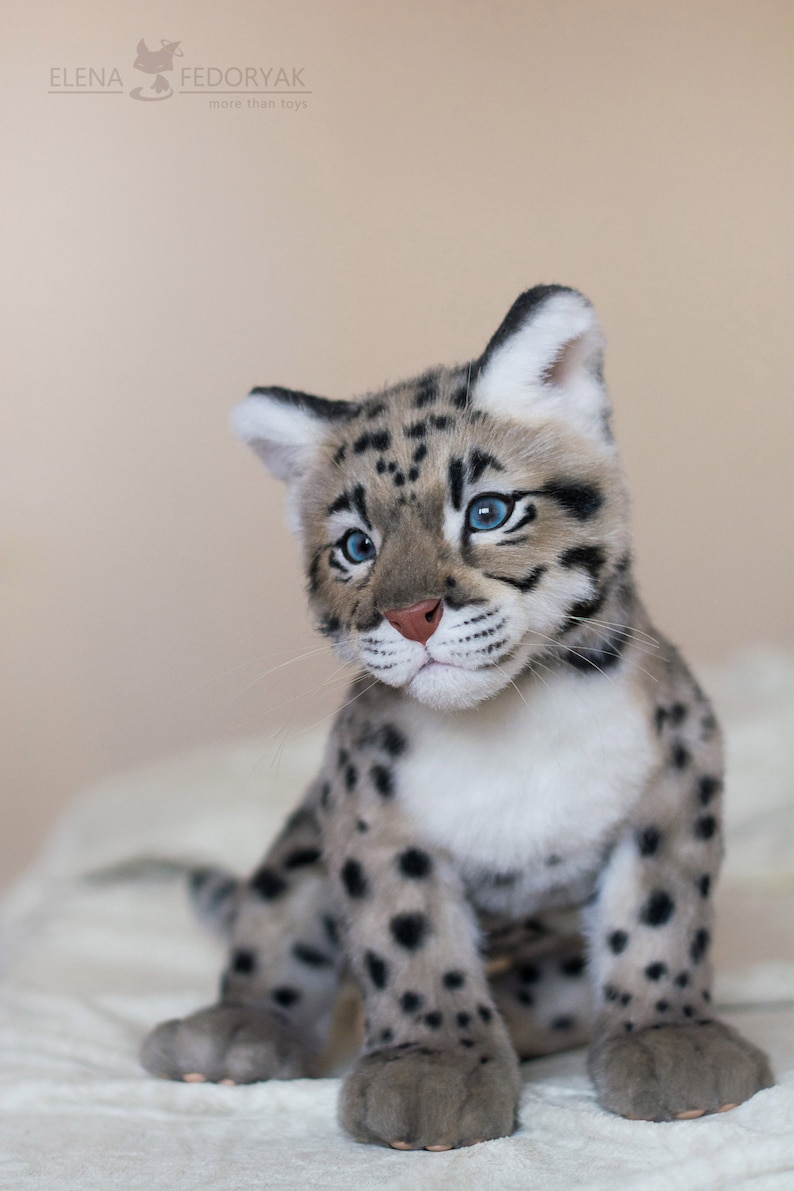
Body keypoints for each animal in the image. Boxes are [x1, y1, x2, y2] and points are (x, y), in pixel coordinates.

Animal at [141, 285, 772, 1149]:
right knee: (271, 921)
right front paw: (431, 1066)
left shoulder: (677, 781)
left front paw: (670, 1037)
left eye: (488, 510)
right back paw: (232, 1034)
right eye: (355, 545)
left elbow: (659, 915)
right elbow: (407, 936)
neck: (513, 725)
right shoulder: (369, 816)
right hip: (300, 841)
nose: (411, 615)